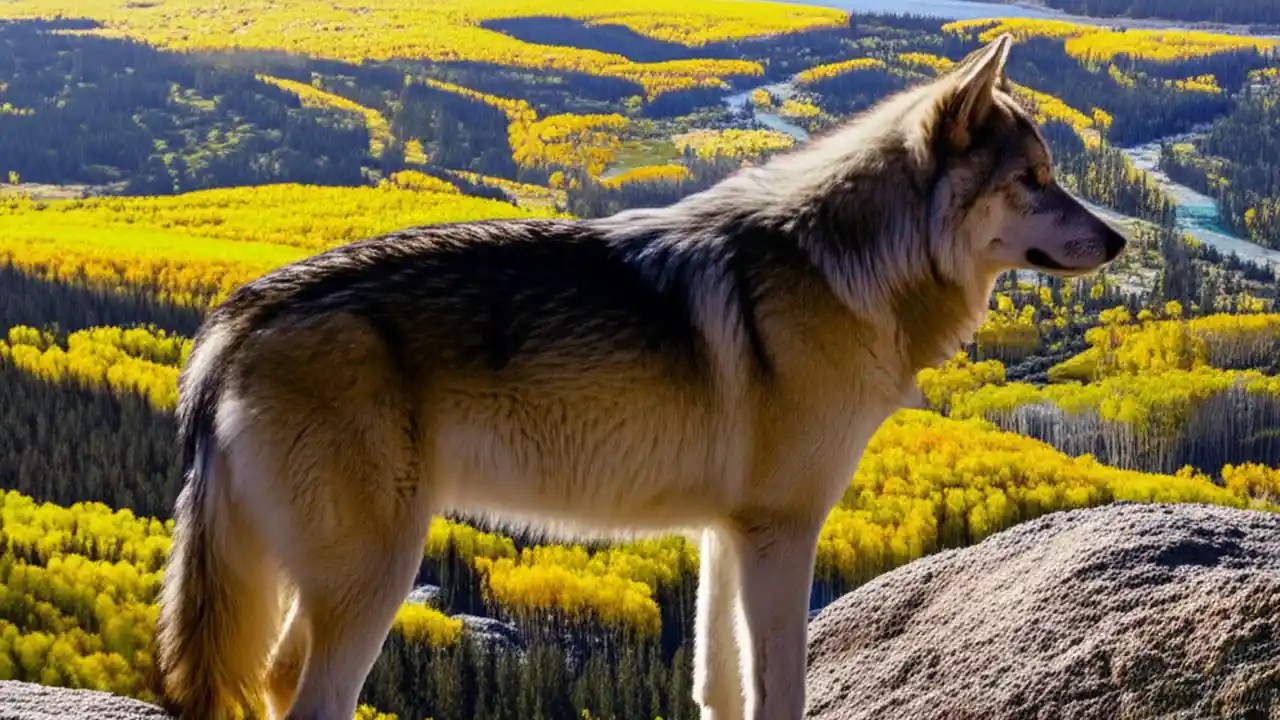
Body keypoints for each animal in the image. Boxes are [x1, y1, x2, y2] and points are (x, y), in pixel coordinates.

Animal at [155, 34, 1124, 720]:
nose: (1117, 239)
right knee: (310, 693)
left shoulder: (729, 534)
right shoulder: (782, 532)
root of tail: (234, 319)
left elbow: (720, 689)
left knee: (274, 677)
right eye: (1034, 179)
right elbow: (782, 691)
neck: (846, 269)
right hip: (375, 577)